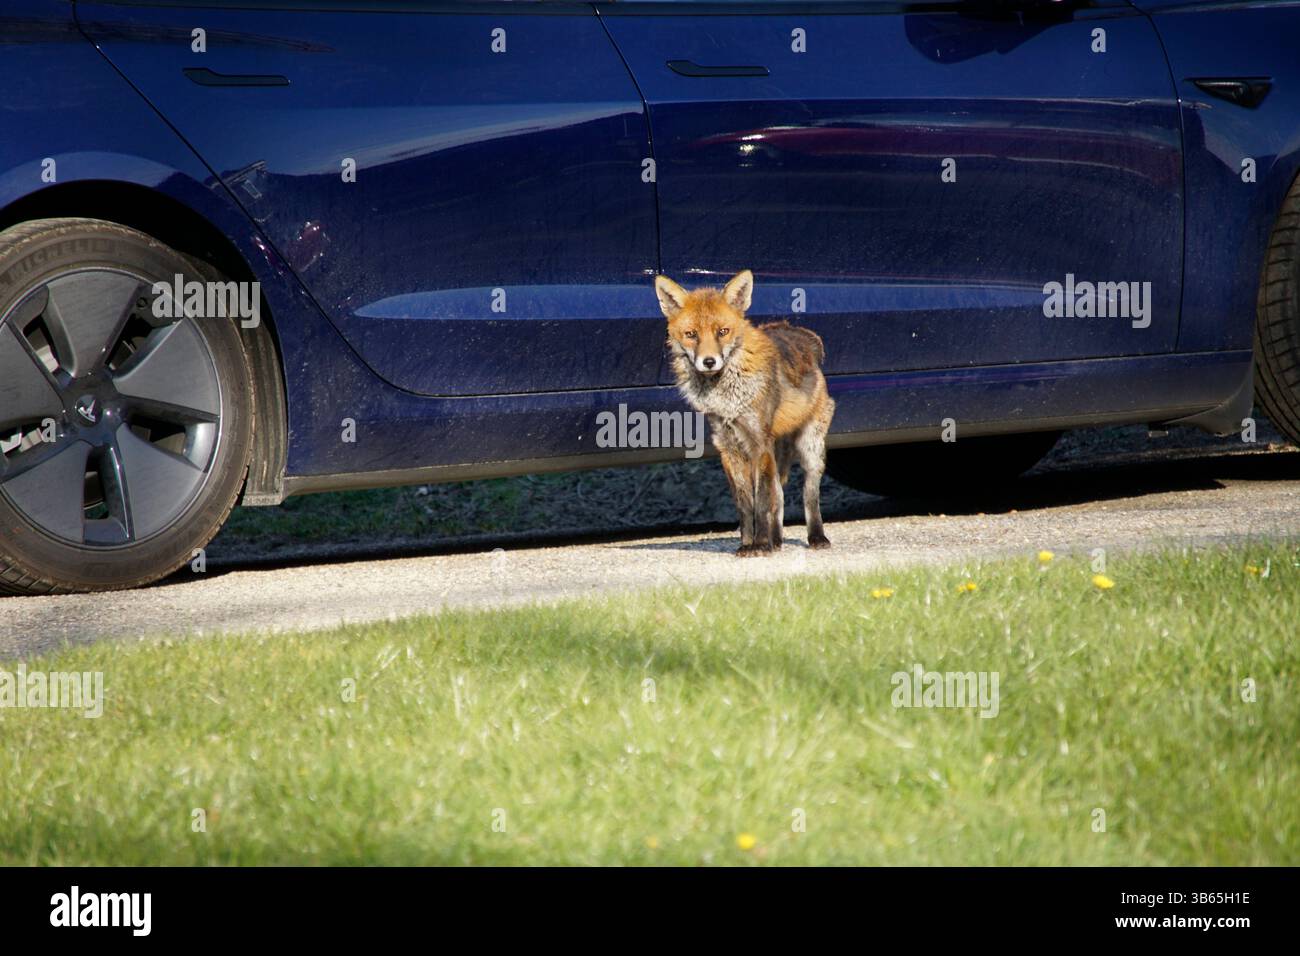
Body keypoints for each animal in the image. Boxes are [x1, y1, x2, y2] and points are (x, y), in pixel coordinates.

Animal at [655, 269, 835, 556]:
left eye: (723, 332)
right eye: (691, 334)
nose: (709, 362)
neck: (727, 397)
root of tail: (801, 334)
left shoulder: (758, 444)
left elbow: (760, 501)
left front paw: (759, 545)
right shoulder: (729, 447)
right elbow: (745, 503)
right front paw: (748, 544)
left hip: (810, 448)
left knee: (809, 494)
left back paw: (815, 537)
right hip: (776, 453)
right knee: (779, 497)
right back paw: (776, 540)